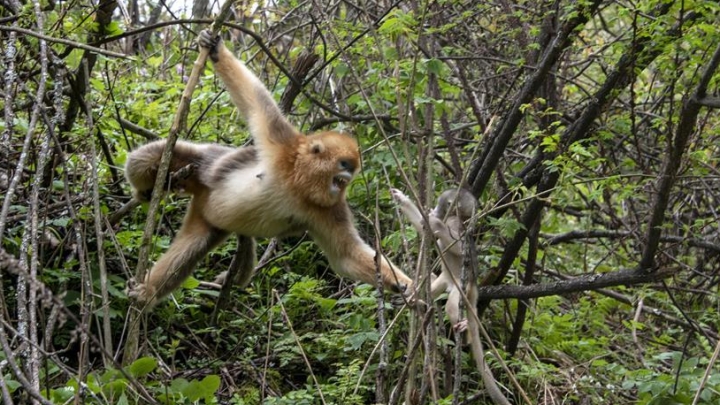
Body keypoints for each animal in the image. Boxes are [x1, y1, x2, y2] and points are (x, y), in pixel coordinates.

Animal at [124, 29, 413, 308]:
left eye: (352, 169)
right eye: (345, 165)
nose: (348, 176)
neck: (298, 183)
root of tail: (201, 197)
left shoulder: (330, 208)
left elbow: (346, 256)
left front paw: (404, 285)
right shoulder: (283, 146)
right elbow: (254, 100)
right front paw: (216, 50)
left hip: (209, 220)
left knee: (192, 247)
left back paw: (149, 292)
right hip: (203, 171)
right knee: (149, 157)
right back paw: (144, 192)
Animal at [392, 187, 511, 405]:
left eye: (441, 205)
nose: (435, 210)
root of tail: (474, 286)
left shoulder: (454, 223)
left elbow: (459, 247)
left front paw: (434, 221)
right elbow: (423, 229)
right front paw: (401, 198)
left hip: (460, 289)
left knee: (450, 305)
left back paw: (464, 332)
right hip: (444, 281)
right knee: (430, 283)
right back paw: (415, 299)